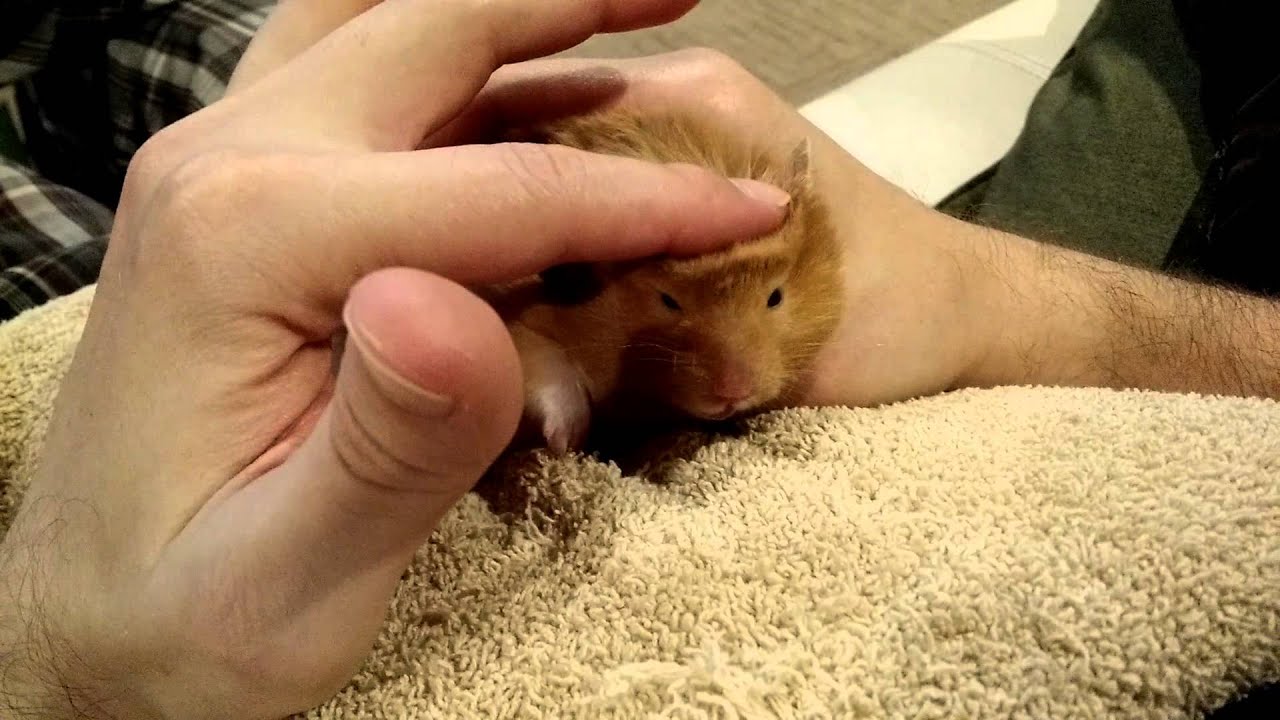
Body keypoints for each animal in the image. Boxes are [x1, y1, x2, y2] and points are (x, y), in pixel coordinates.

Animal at [489, 109, 844, 453]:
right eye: (668, 300)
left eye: (775, 296)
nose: (733, 393)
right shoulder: (515, 312)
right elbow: (545, 367)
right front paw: (566, 445)